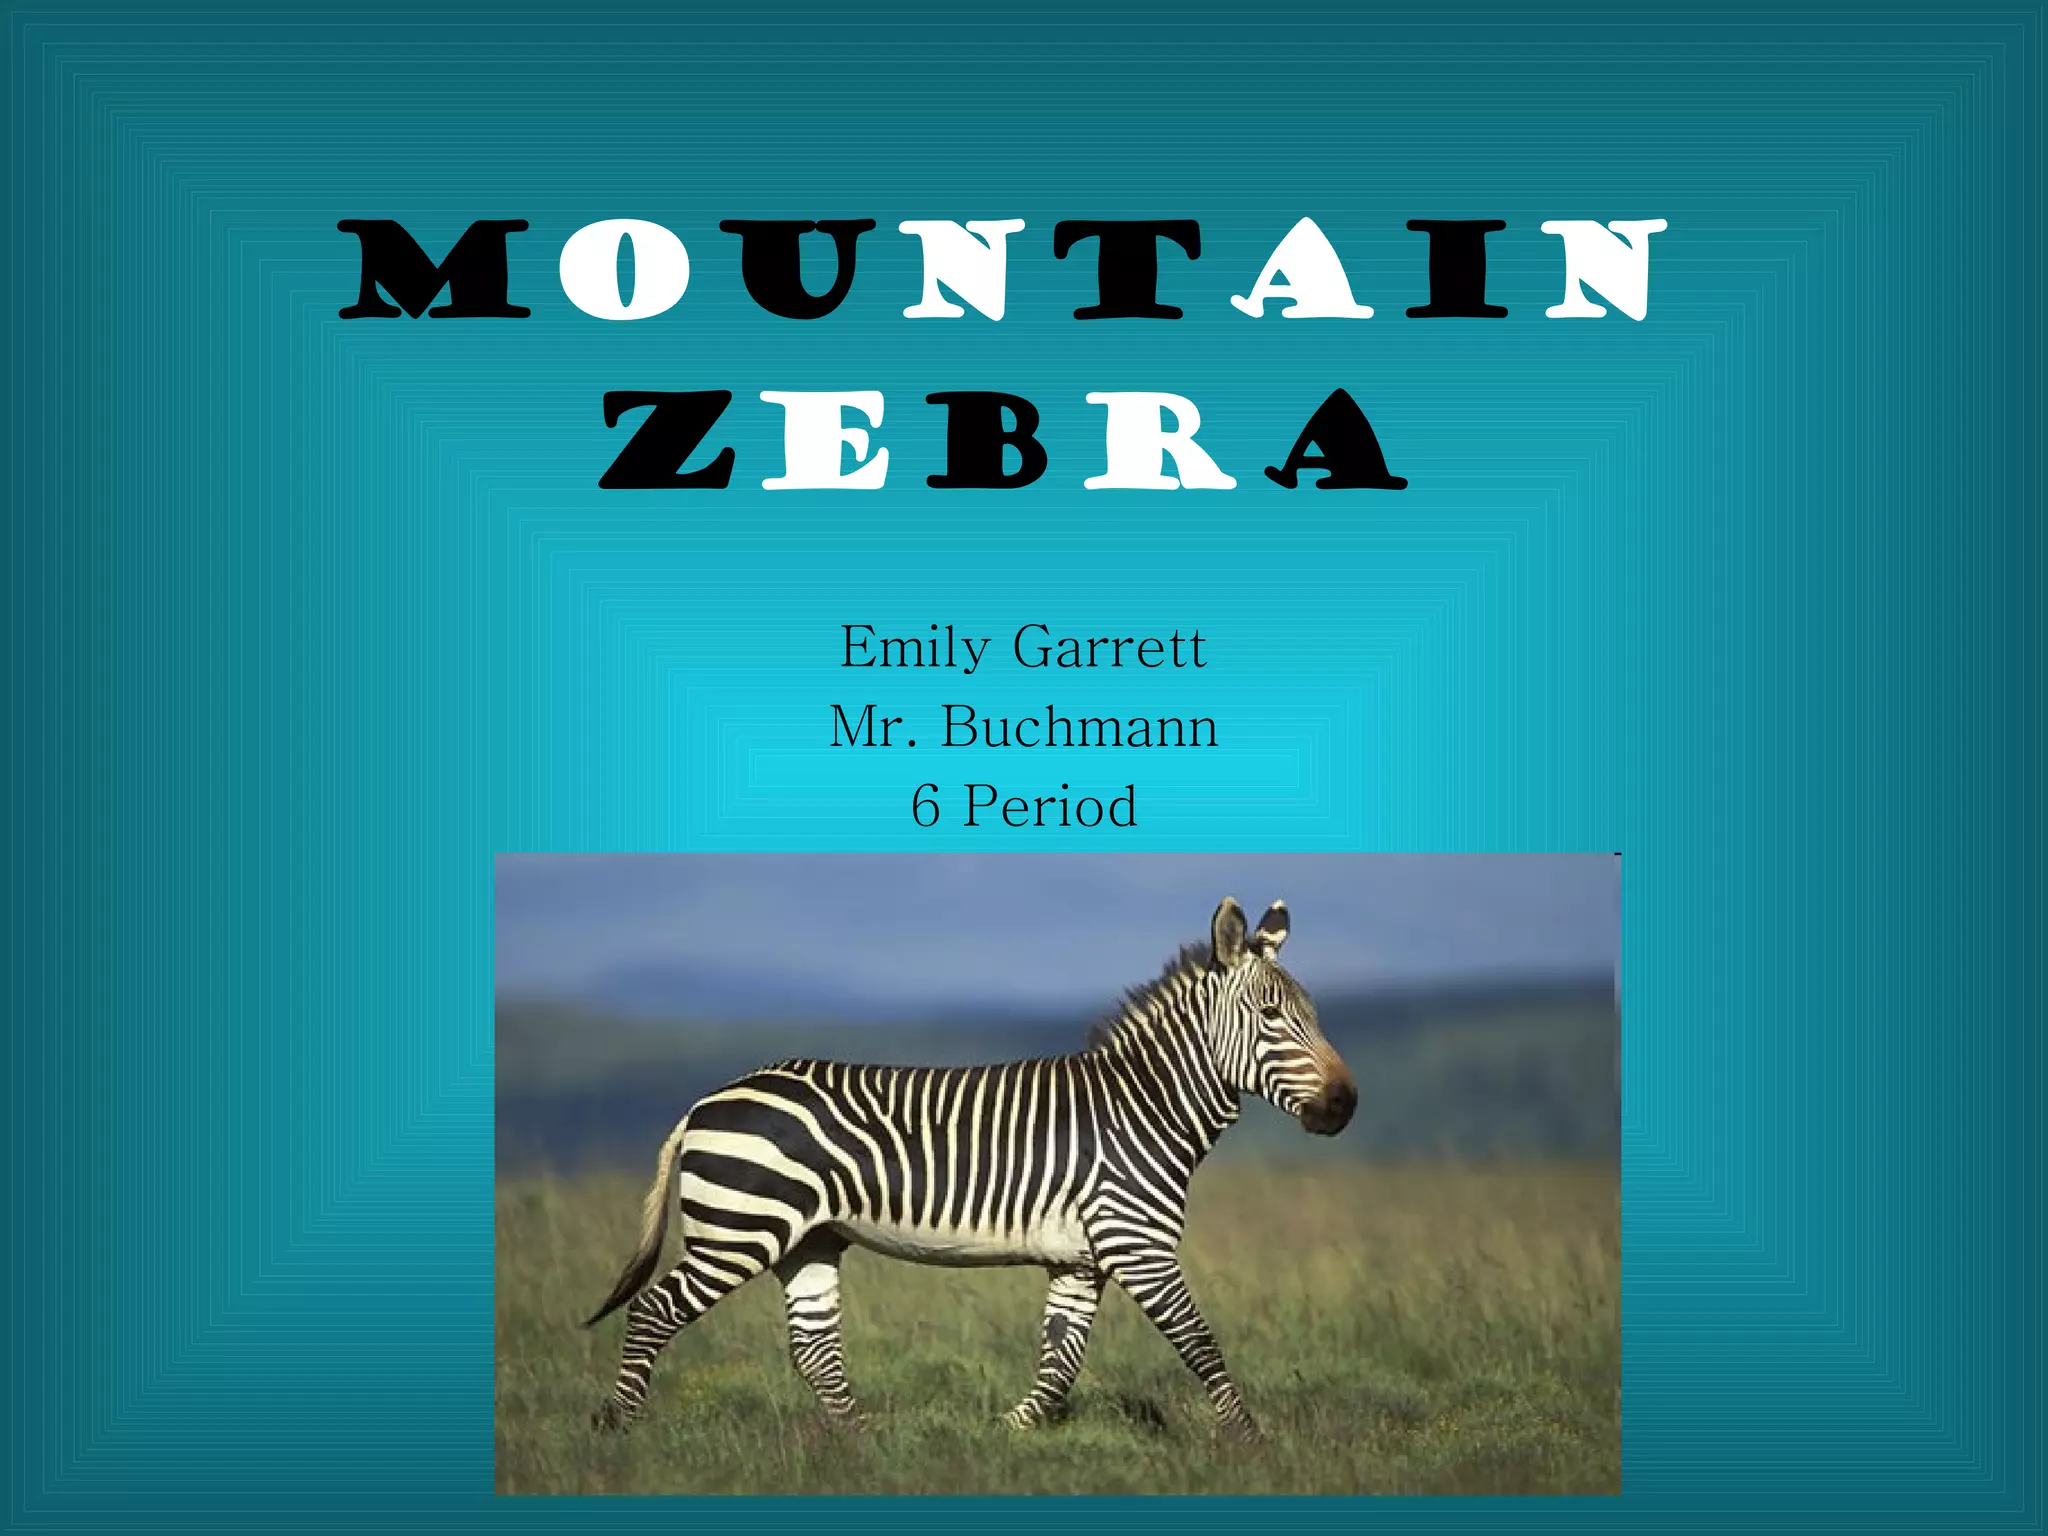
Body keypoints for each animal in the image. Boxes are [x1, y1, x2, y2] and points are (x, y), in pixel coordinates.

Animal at [585, 895, 1357, 1439]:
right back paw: (620, 1430)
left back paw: (866, 1443)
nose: (1345, 1105)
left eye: (1313, 1014)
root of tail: (705, 1102)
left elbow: (1060, 1363)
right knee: (655, 1310)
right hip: (740, 1229)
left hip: (807, 1238)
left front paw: (1006, 1435)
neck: (1142, 1107)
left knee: (813, 1343)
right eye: (1270, 1016)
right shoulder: (1137, 1245)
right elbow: (1198, 1342)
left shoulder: (1080, 1260)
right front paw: (1252, 1441)